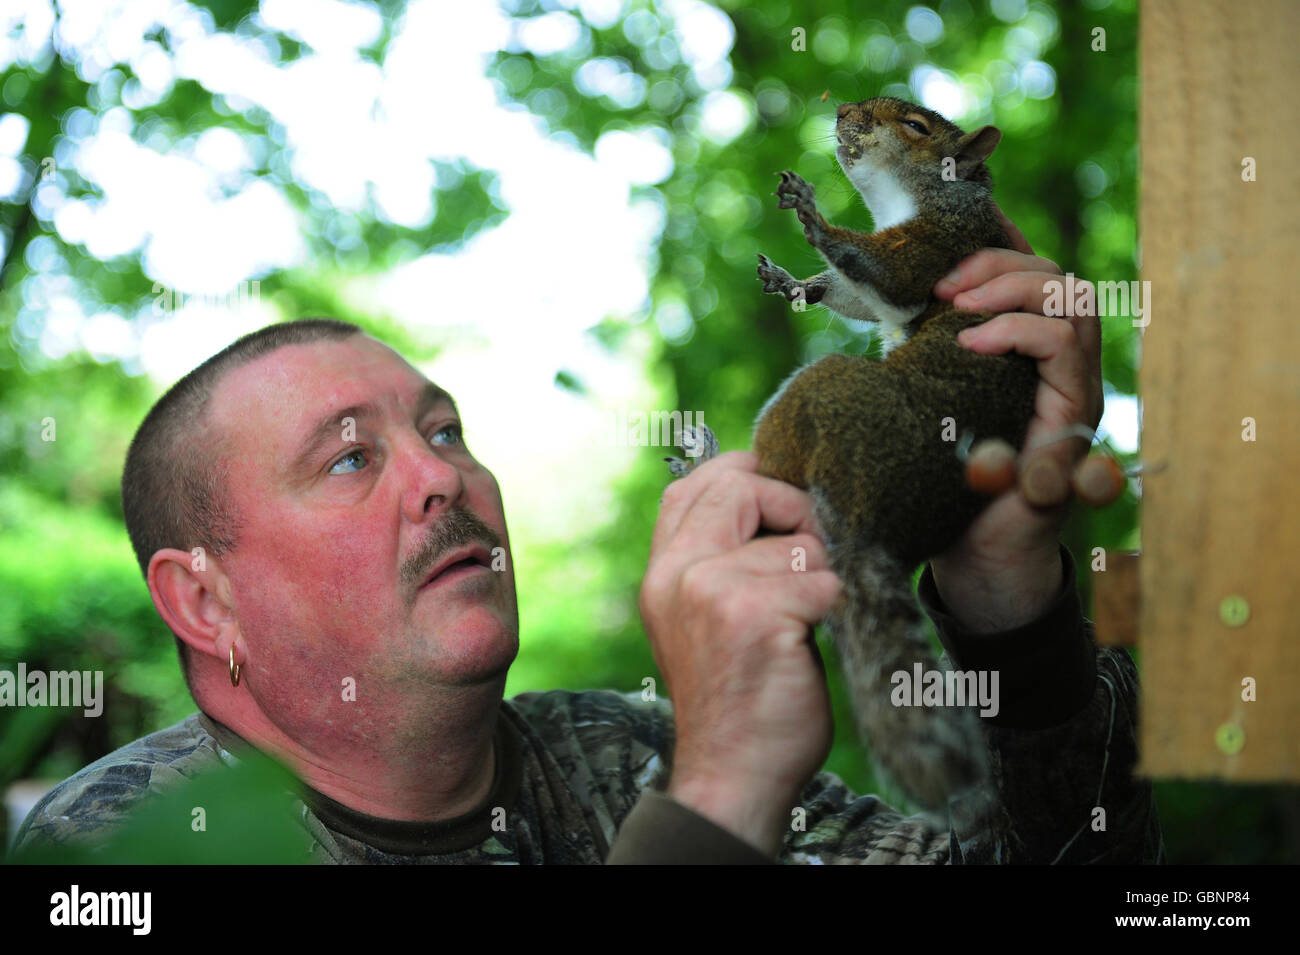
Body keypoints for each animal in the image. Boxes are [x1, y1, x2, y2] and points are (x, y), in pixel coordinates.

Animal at [667, 97, 1041, 817]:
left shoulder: (943, 245)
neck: (907, 198)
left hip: (824, 397)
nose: (843, 109)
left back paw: (708, 463)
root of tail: (867, 520)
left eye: (918, 127)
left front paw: (813, 217)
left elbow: (887, 275)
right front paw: (797, 283)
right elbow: (857, 295)